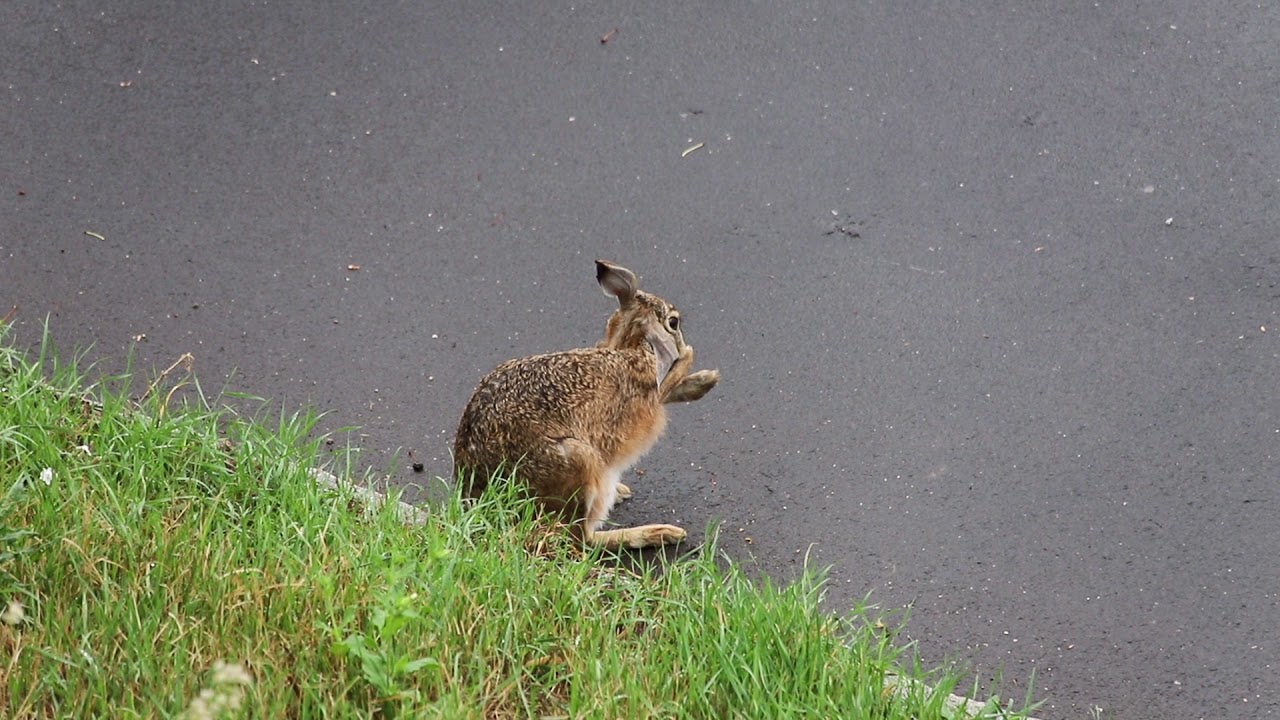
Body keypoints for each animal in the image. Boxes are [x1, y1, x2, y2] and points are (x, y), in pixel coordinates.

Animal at [453, 260, 720, 549]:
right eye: (673, 322)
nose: (682, 342)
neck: (629, 340)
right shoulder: (649, 388)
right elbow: (670, 382)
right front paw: (700, 370)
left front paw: (705, 379)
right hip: (581, 462)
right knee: (581, 539)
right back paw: (657, 532)